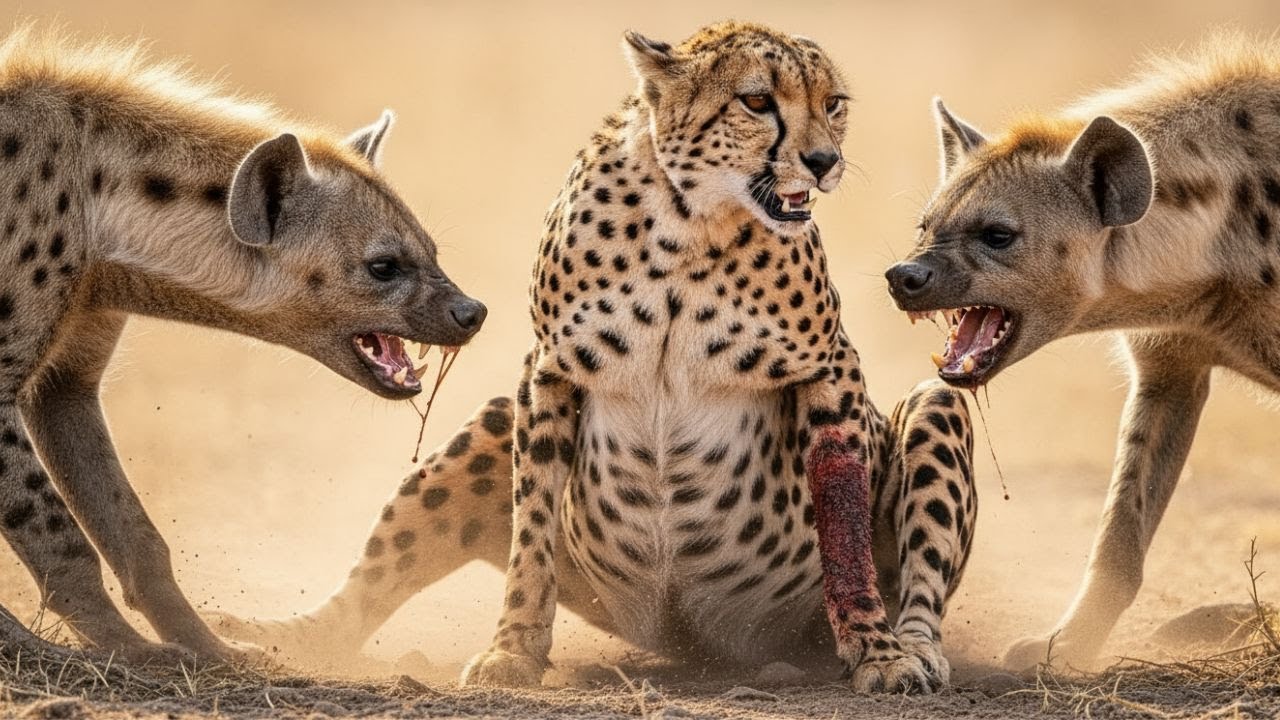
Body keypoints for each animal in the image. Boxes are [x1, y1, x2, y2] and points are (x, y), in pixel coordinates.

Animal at [0, 26, 485, 665]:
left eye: (432, 250)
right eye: (383, 266)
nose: (473, 312)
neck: (89, 216)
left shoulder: (71, 372)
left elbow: (131, 528)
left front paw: (211, 647)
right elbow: (50, 524)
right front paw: (137, 654)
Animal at [213, 21, 976, 694]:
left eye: (833, 104)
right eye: (757, 101)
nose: (823, 162)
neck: (688, 227)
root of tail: (694, 647)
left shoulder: (830, 370)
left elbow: (844, 531)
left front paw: (876, 652)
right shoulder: (547, 372)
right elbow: (530, 534)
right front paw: (512, 651)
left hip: (937, 404)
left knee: (920, 574)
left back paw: (913, 648)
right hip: (501, 426)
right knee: (371, 581)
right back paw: (282, 638)